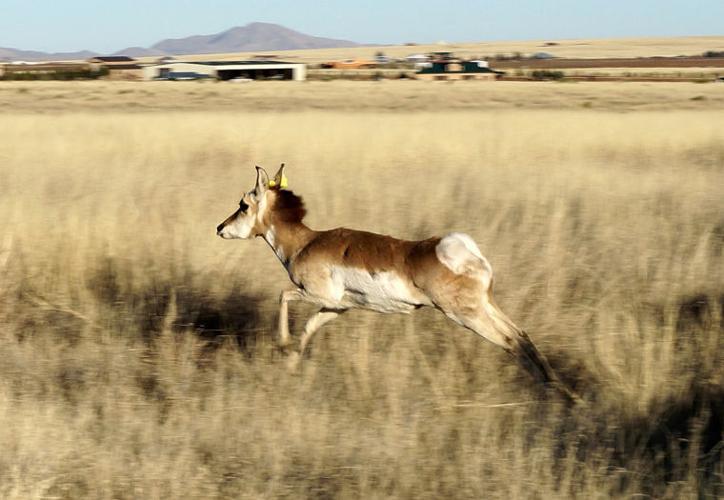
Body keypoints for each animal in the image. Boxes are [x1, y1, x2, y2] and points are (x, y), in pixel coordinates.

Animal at [217, 165, 579, 402]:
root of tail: (456, 247)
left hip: (466, 315)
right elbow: (308, 330)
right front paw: (291, 366)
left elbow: (283, 296)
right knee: (522, 335)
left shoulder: (317, 295)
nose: (219, 228)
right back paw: (560, 391)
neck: (306, 241)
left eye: (243, 204)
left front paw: (282, 346)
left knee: (510, 341)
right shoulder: (337, 307)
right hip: (485, 307)